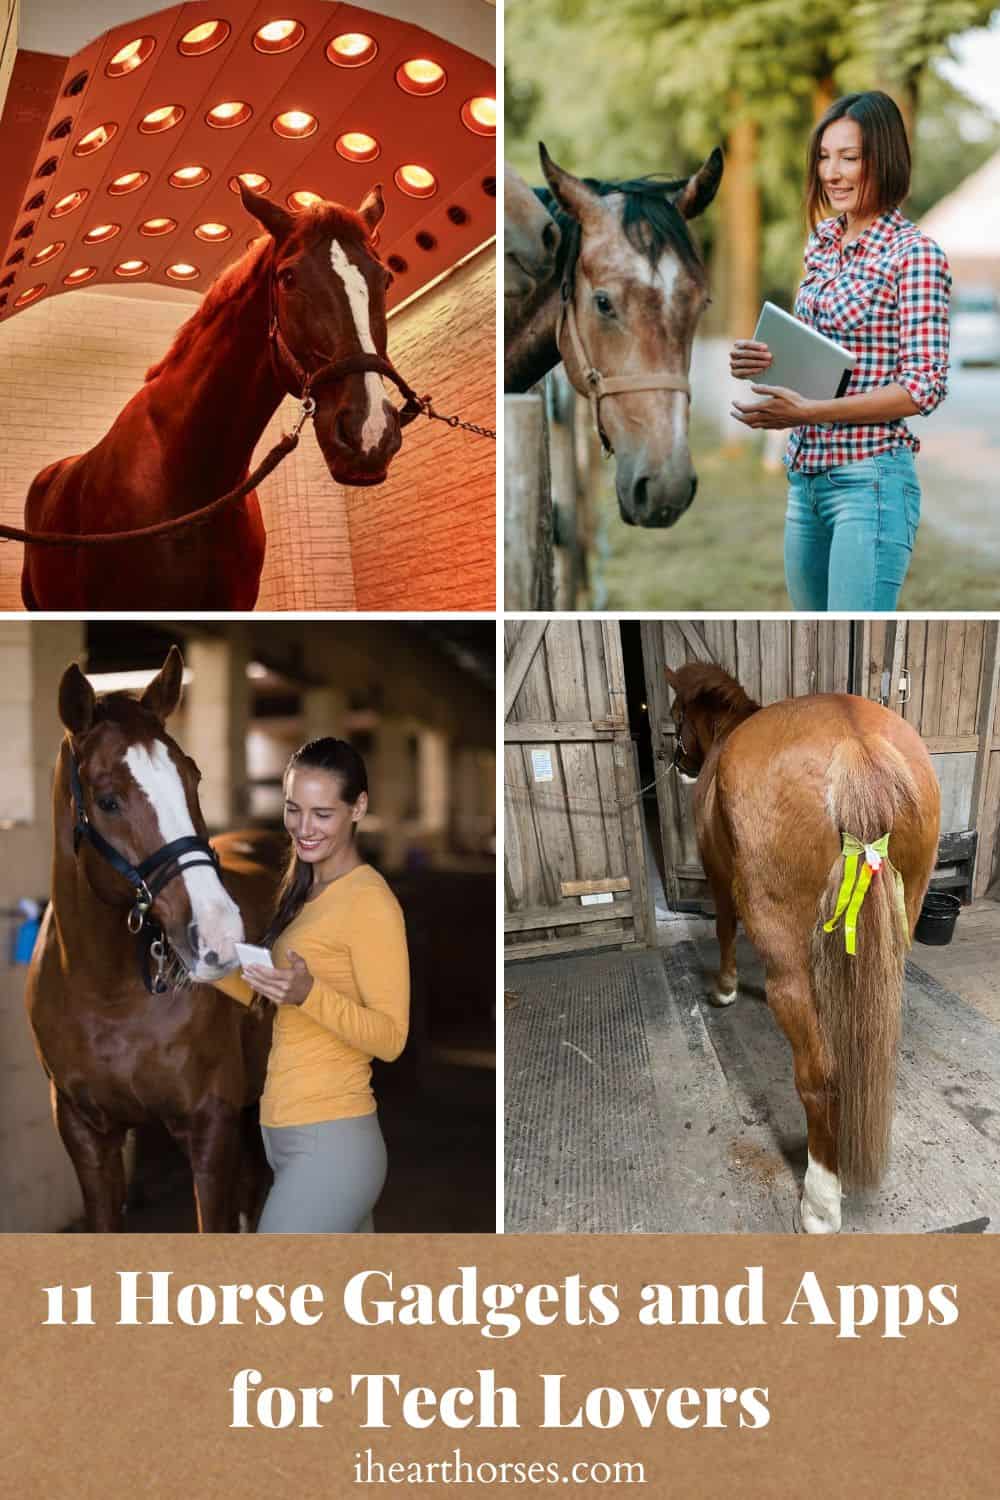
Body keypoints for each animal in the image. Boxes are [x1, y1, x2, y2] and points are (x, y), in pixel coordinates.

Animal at [25, 646, 279, 1231]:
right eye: (107, 800)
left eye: (194, 777)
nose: (218, 933)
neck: (107, 993)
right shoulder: (86, 1133)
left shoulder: (210, 1125)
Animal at [665, 661, 940, 1234]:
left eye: (677, 713)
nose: (677, 762)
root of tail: (855, 746)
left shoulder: (718, 876)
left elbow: (723, 929)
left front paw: (724, 989)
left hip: (790, 973)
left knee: (819, 1077)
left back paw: (819, 1202)